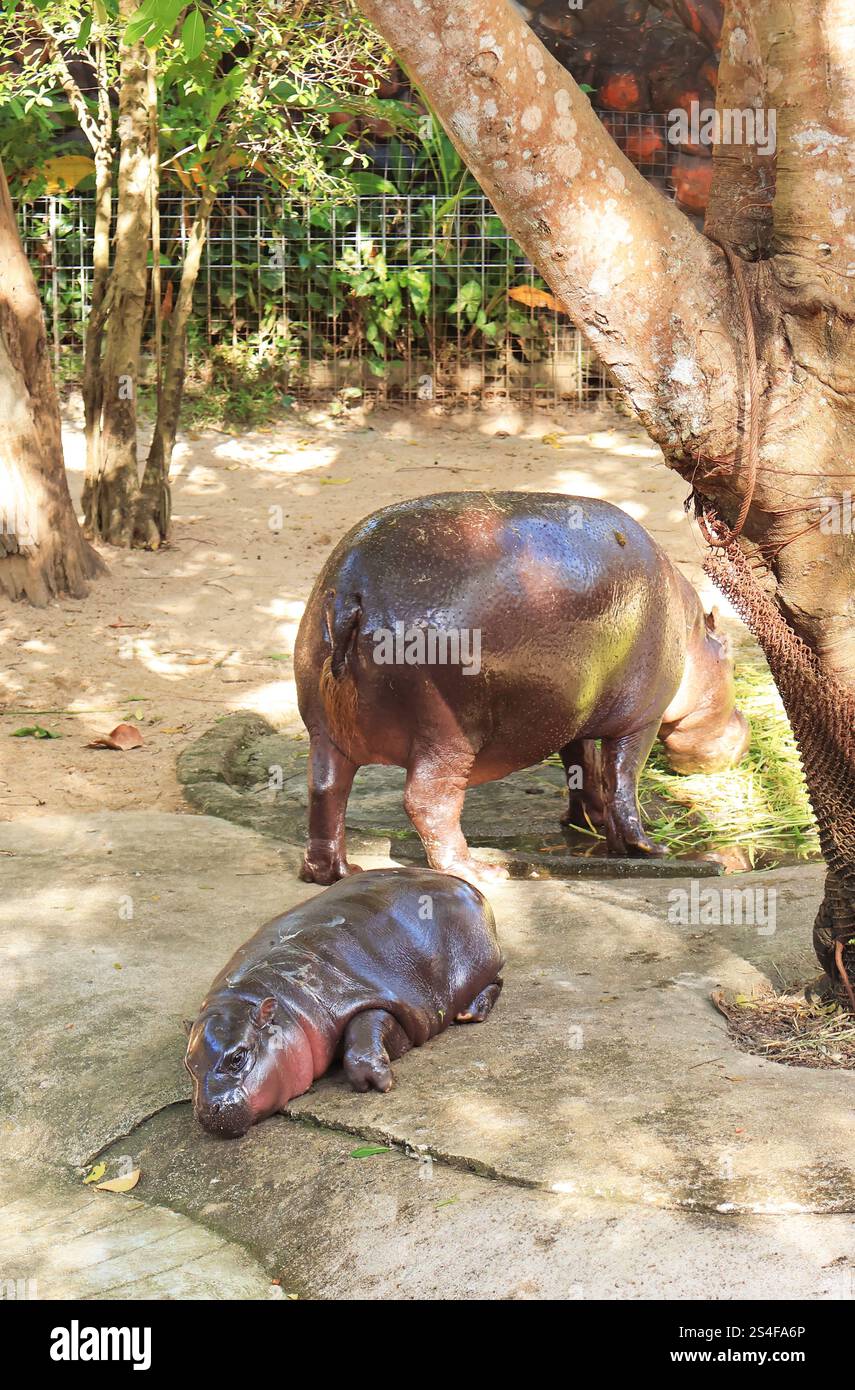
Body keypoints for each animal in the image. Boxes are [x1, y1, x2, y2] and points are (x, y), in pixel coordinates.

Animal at [184, 867, 503, 1138]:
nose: (206, 1113)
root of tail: (466, 885)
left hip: (479, 963)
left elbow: (366, 1025)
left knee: (496, 982)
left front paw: (377, 1083)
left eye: (237, 1057)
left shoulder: (368, 996)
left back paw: (469, 1013)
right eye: (190, 1065)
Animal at [294, 492, 750, 886]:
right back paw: (478, 871)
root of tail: (351, 591)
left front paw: (588, 823)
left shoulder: (576, 714)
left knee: (325, 789)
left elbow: (583, 769)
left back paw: (335, 872)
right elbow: (622, 780)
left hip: (325, 729)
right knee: (427, 802)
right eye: (730, 657)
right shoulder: (641, 720)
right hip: (446, 735)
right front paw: (647, 848)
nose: (745, 732)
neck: (691, 633)